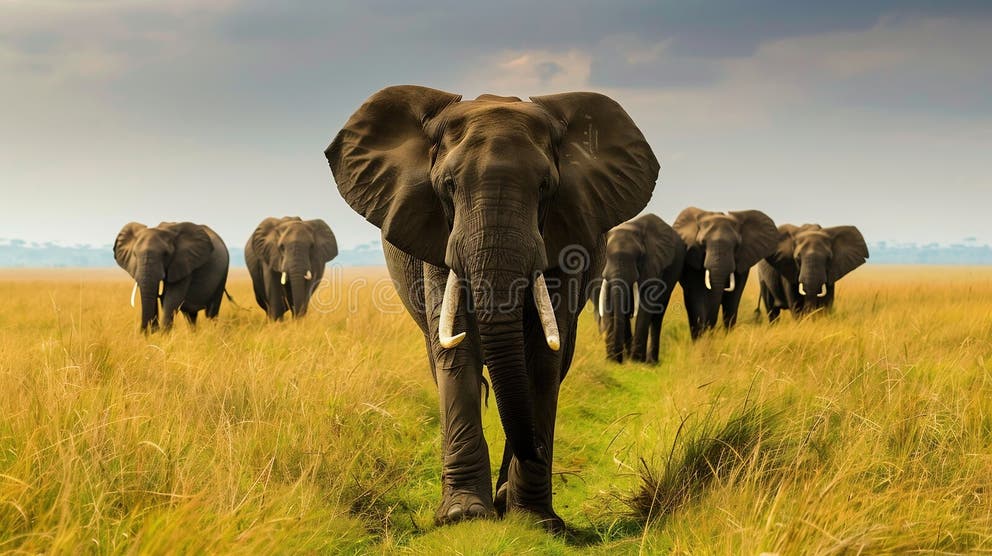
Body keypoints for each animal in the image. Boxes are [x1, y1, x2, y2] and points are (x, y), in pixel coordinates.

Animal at [325, 86, 659, 530]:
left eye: (545, 186)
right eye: (448, 185)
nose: (534, 449)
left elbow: (541, 357)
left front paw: (534, 521)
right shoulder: (437, 235)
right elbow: (456, 348)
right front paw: (463, 515)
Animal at [597, 213, 684, 363]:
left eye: (639, 257)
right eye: (606, 256)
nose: (616, 359)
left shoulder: (654, 265)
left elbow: (646, 305)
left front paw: (635, 361)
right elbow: (609, 303)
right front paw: (614, 361)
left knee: (657, 316)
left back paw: (650, 362)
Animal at [673, 207, 778, 339]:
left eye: (736, 245)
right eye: (702, 243)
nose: (711, 329)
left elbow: (732, 298)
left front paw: (727, 337)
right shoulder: (693, 260)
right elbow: (697, 297)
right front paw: (702, 339)